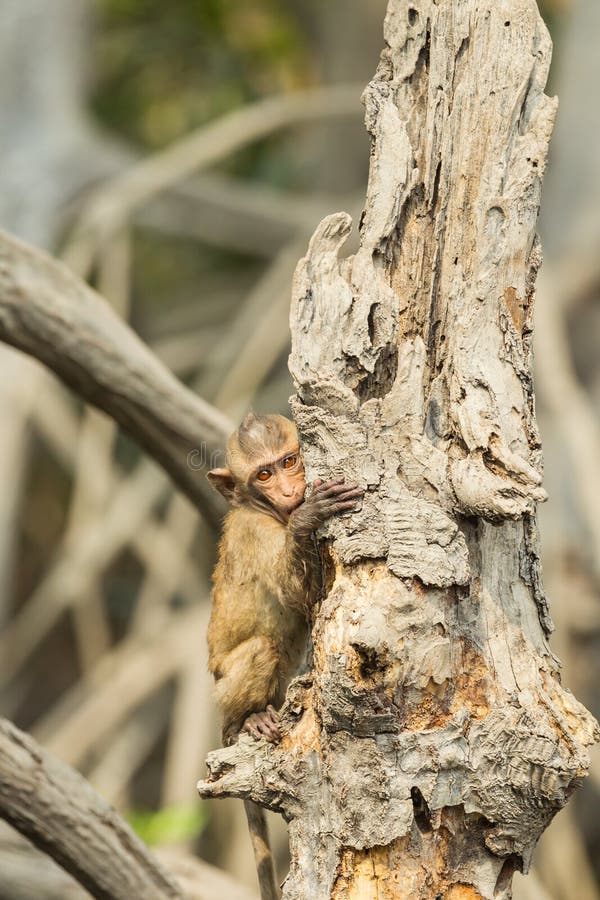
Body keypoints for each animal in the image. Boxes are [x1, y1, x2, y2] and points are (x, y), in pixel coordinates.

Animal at [206, 411, 363, 899]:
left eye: (289, 461)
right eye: (264, 475)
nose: (291, 490)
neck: (264, 509)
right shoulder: (255, 533)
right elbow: (300, 596)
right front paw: (308, 518)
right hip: (223, 690)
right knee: (263, 647)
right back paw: (247, 721)